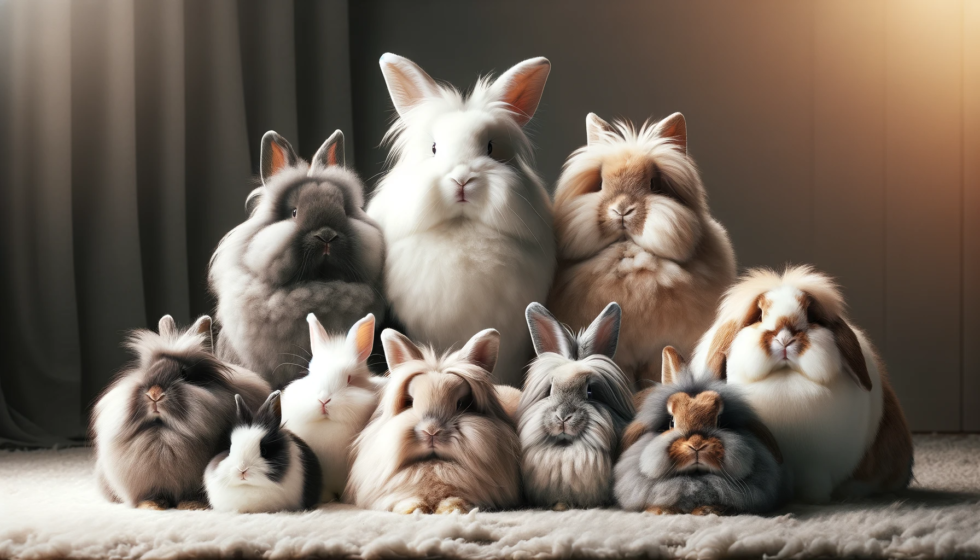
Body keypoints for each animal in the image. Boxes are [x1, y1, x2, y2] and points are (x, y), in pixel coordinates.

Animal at [90, 315, 270, 509]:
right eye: (148, 370)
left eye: (184, 374)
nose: (154, 394)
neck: (163, 432)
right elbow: (153, 494)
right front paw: (152, 506)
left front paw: (191, 505)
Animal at [345, 327, 521, 514]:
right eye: (409, 402)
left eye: (462, 404)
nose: (431, 431)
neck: (434, 465)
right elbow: (405, 500)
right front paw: (413, 509)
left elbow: (458, 500)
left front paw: (450, 510)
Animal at [547, 113, 736, 389]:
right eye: (600, 183)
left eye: (654, 184)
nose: (622, 209)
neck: (629, 259)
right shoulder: (621, 356)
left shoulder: (660, 351)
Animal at [614, 346, 788, 515]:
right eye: (671, 423)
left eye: (720, 422)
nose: (696, 445)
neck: (695, 479)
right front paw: (661, 511)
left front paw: (707, 510)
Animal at [689, 265, 914, 503]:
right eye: (759, 315)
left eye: (811, 316)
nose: (785, 340)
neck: (785, 382)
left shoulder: (815, 466)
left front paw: (812, 500)